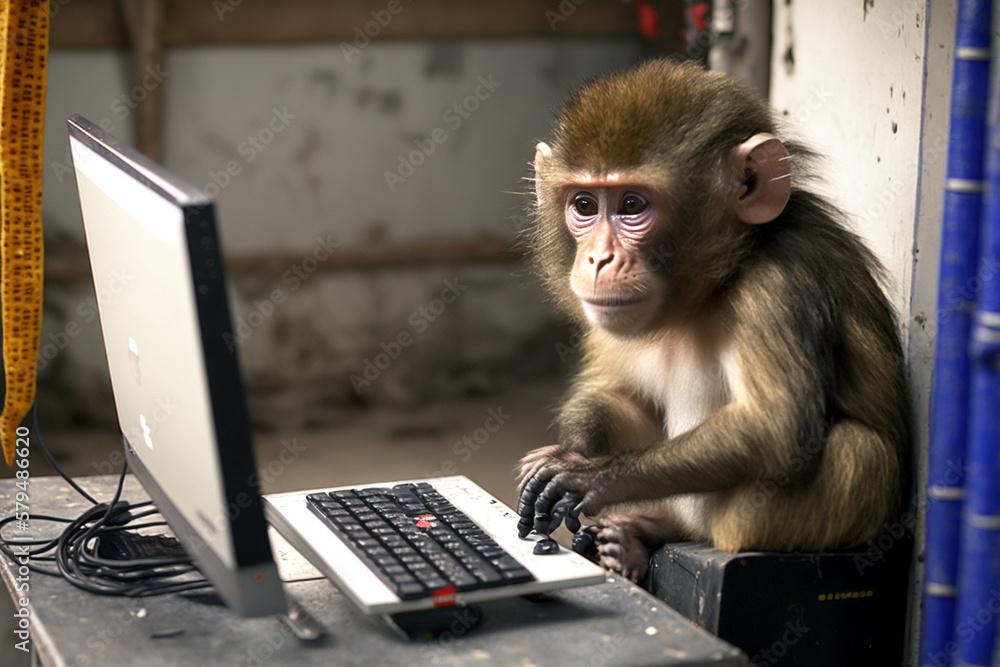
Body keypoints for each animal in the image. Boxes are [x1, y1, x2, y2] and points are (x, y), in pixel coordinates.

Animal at [516, 59, 910, 583]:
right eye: (584, 205)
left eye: (632, 205)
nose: (598, 258)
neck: (710, 284)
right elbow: (616, 393)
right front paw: (571, 452)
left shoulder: (778, 281)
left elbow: (777, 426)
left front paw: (589, 475)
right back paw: (635, 537)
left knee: (859, 451)